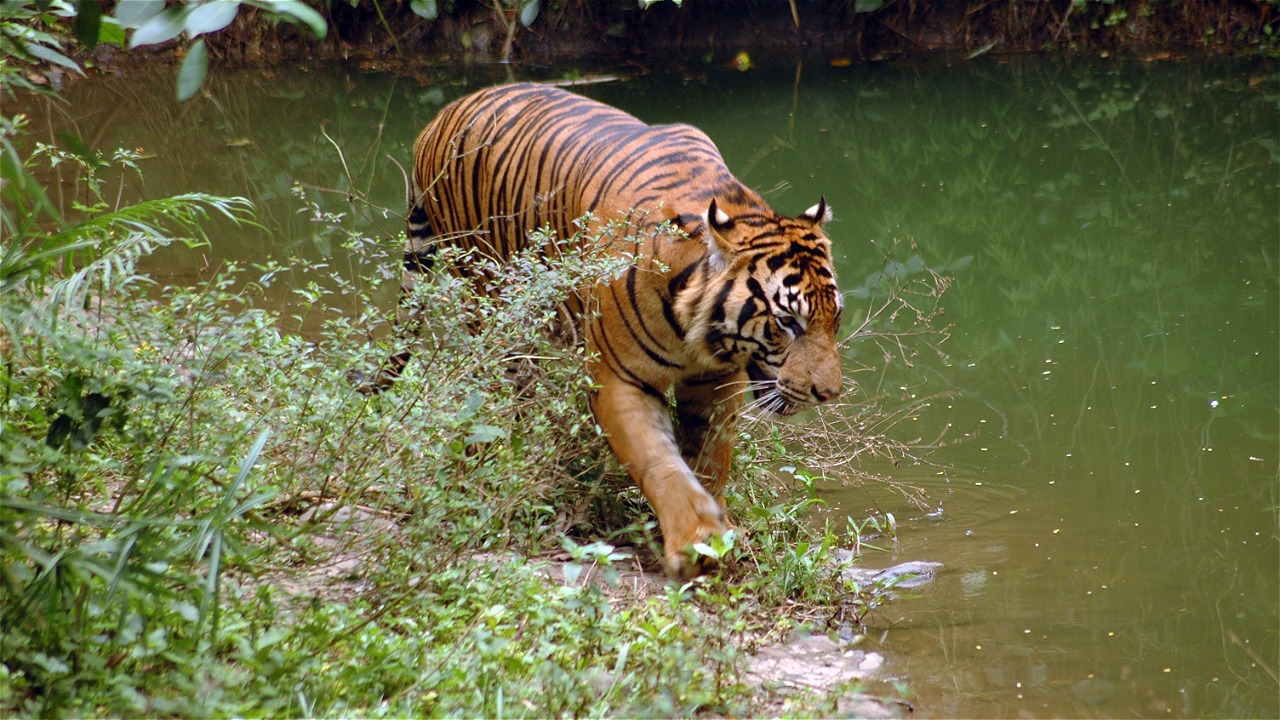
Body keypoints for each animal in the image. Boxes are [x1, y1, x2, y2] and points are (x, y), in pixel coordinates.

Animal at [392, 82, 844, 579]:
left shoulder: (716, 379)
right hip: (490, 300)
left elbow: (711, 458)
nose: (829, 394)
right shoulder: (619, 379)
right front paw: (696, 542)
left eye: (834, 318)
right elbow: (659, 461)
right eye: (788, 322)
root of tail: (442, 115)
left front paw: (720, 532)